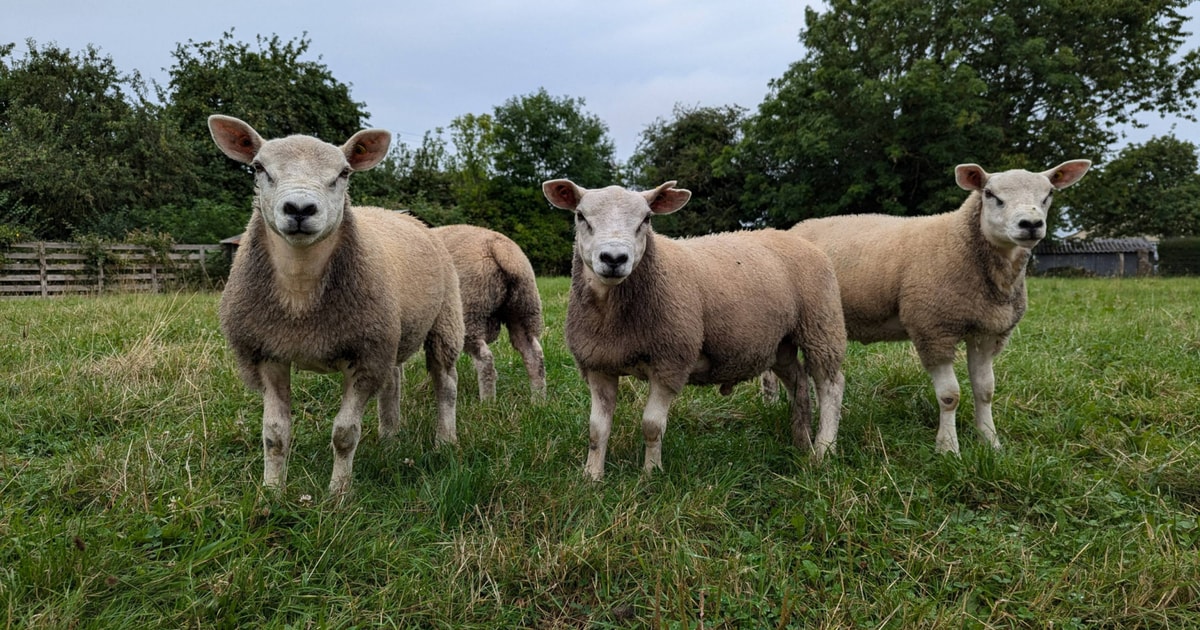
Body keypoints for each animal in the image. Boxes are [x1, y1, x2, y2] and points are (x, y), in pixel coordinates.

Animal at [208, 114, 465, 496]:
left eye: (343, 173)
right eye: (258, 168)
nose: (300, 209)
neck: (300, 294)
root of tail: (404, 216)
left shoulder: (363, 357)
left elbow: (345, 434)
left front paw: (338, 494)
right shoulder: (267, 354)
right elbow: (274, 435)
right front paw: (272, 492)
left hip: (444, 319)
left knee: (445, 383)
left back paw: (444, 441)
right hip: (390, 334)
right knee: (392, 382)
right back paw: (390, 438)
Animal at [431, 224, 546, 400]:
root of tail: (498, 247)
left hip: (471, 312)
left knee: (485, 360)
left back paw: (487, 401)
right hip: (525, 307)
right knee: (534, 355)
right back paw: (539, 400)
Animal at [542, 179, 847, 480]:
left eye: (646, 219)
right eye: (581, 216)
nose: (614, 258)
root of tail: (796, 238)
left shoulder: (670, 363)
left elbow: (651, 426)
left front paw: (651, 475)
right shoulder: (598, 364)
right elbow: (596, 429)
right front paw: (591, 477)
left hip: (822, 324)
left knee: (830, 384)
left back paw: (823, 450)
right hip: (780, 342)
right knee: (798, 381)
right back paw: (802, 439)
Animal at [789, 160, 1091, 454]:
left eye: (1048, 194)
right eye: (990, 194)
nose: (1030, 223)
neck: (959, 241)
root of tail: (797, 228)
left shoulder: (986, 333)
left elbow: (985, 390)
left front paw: (990, 442)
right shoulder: (933, 329)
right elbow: (949, 396)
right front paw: (948, 448)